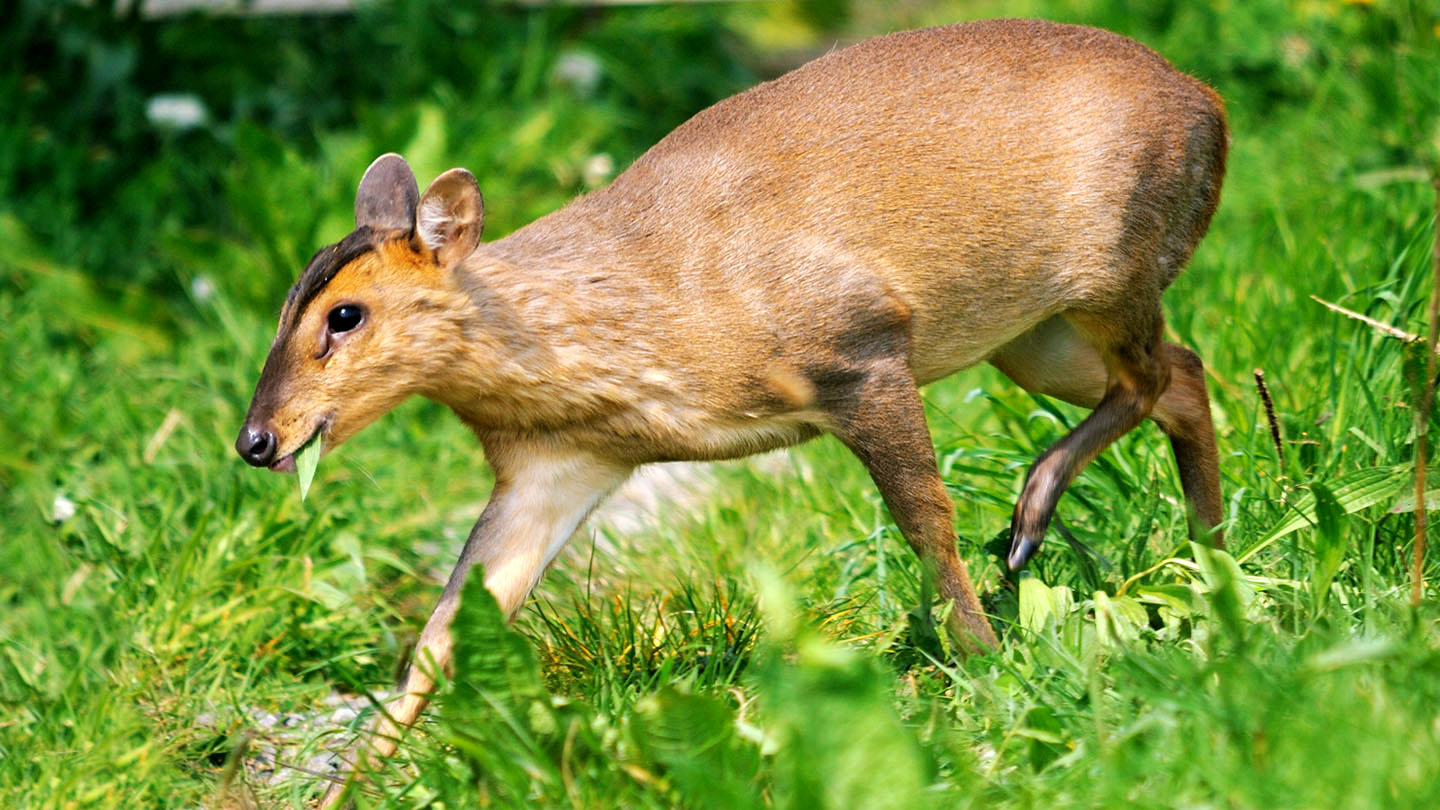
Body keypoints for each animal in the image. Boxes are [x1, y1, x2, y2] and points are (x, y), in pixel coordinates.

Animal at [234, 18, 1227, 805]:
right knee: (1185, 375)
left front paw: (985, 663)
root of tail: (1209, 102)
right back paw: (1212, 562)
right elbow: (444, 633)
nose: (255, 440)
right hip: (1026, 332)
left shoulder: (860, 349)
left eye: (344, 315)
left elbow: (926, 521)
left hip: (1111, 268)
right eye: (284, 305)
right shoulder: (552, 463)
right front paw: (353, 787)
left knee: (1153, 375)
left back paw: (1039, 521)